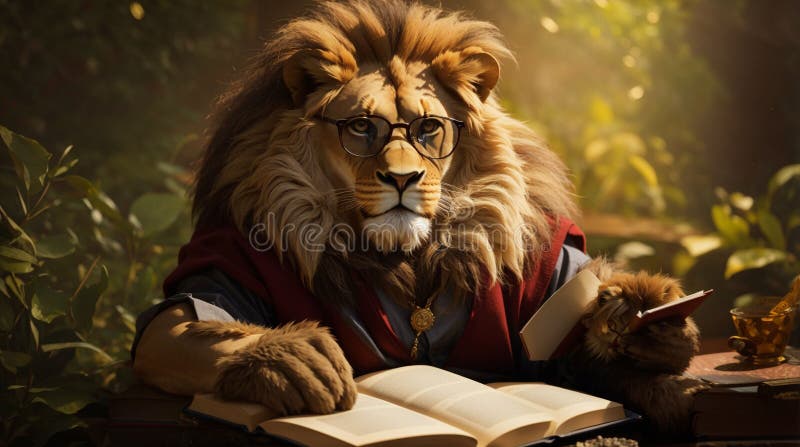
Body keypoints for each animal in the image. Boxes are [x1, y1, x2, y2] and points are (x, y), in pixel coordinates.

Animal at [133, 0, 705, 434]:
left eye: (429, 127)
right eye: (361, 127)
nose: (403, 179)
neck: (404, 256)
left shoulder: (552, 274)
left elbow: (575, 353)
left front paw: (646, 318)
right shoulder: (225, 255)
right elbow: (181, 321)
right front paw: (290, 360)